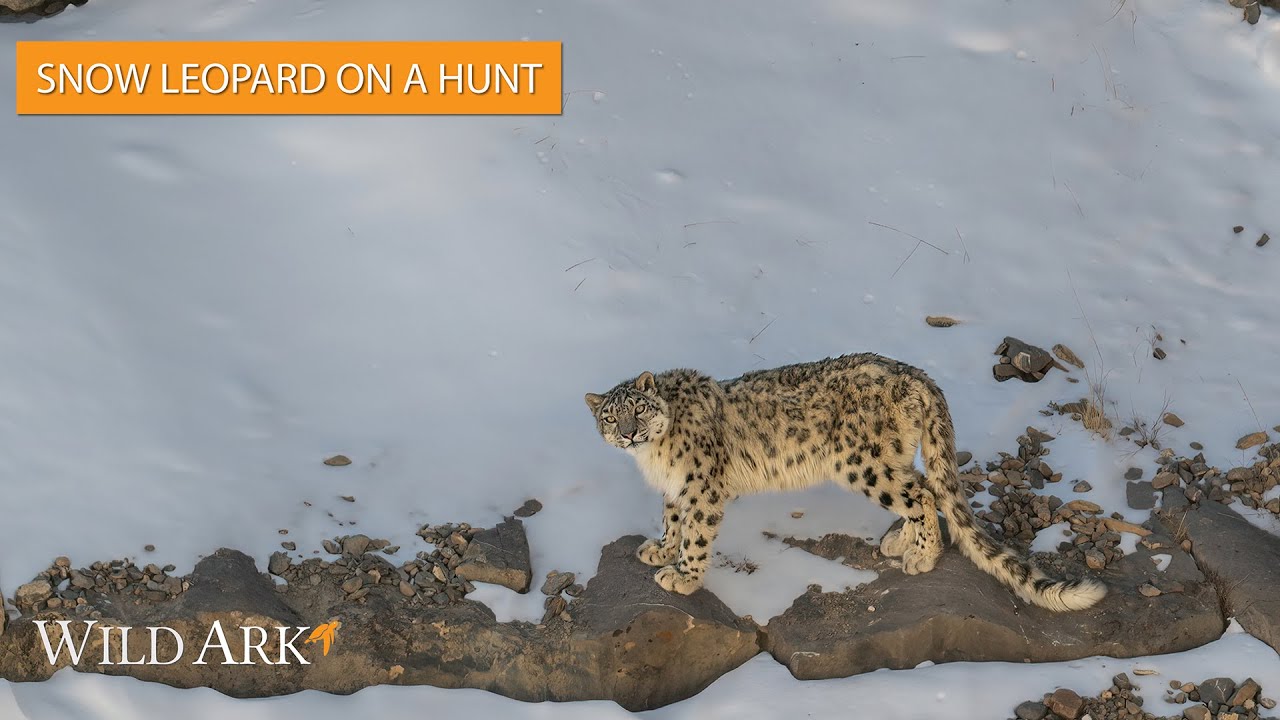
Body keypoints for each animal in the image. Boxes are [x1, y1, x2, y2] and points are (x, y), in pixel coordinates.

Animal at [584, 353, 1106, 612]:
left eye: (638, 408)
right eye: (611, 416)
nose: (627, 432)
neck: (653, 457)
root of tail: (914, 374)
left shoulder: (702, 487)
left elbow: (695, 534)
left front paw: (684, 577)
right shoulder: (677, 489)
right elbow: (673, 520)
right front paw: (659, 549)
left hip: (863, 463)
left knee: (921, 492)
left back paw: (921, 556)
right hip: (892, 457)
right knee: (923, 485)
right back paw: (901, 541)